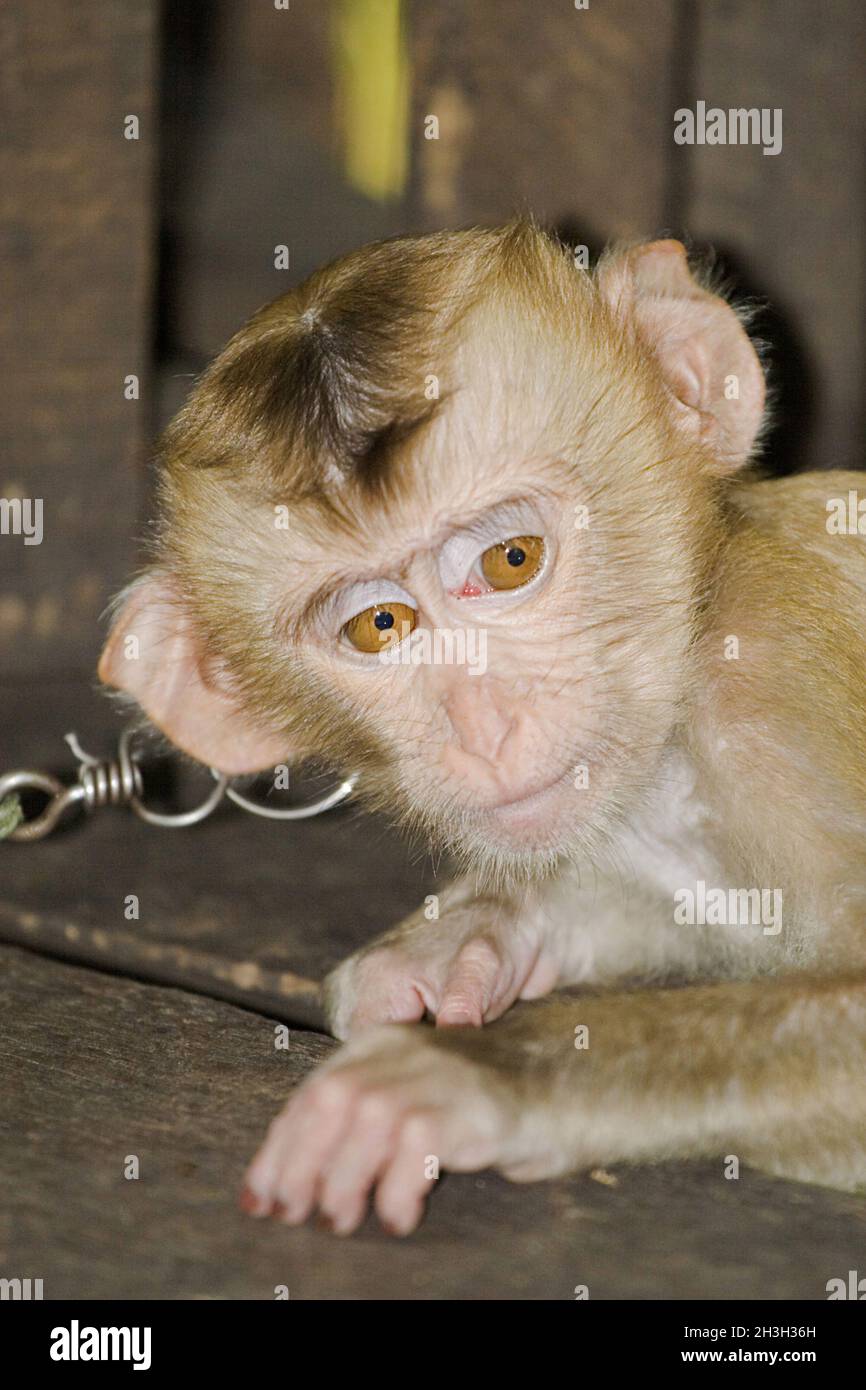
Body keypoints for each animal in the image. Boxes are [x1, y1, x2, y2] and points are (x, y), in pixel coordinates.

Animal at [98, 219, 866, 1238]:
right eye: (379, 625)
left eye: (510, 560)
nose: (485, 722)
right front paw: (470, 942)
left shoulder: (776, 689)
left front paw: (472, 1077)